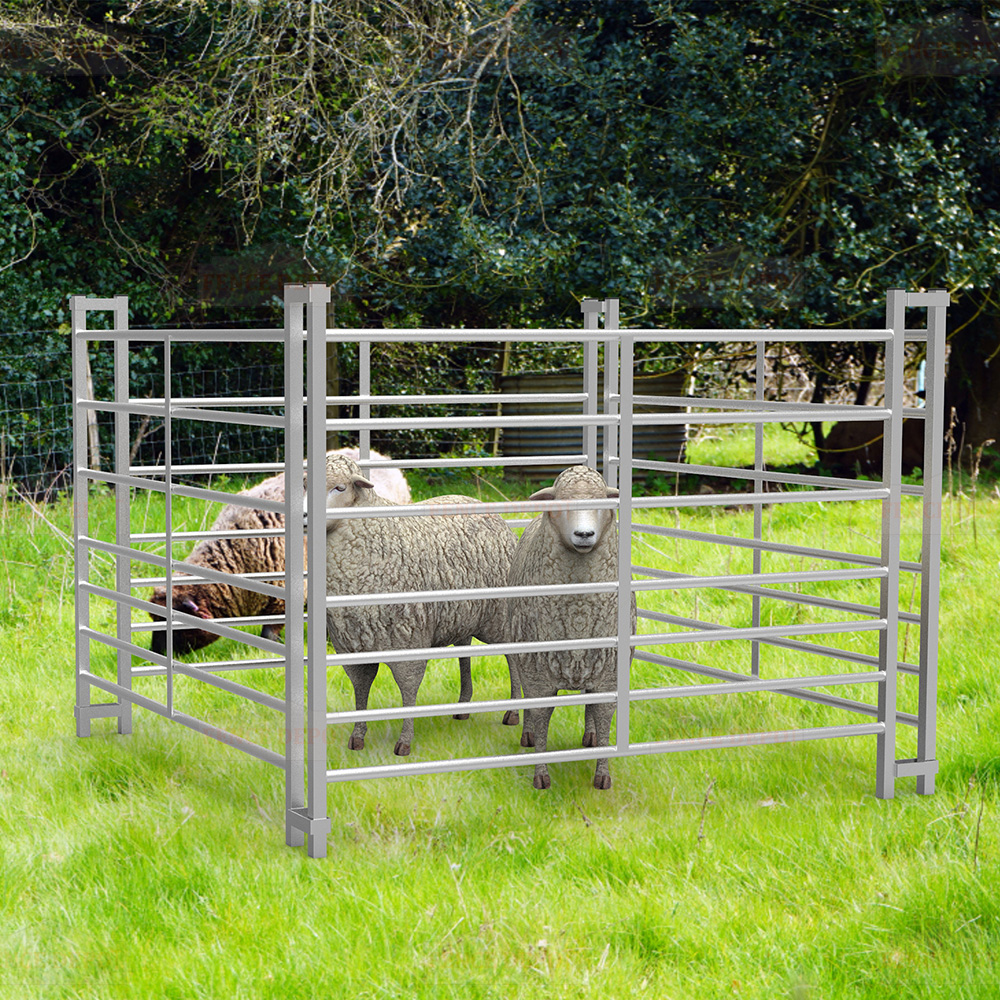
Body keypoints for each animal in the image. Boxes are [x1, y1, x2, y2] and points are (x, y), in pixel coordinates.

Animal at [321, 452, 518, 756]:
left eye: (340, 488)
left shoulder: (409, 639)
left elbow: (408, 687)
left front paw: (404, 741)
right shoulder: (352, 644)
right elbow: (360, 689)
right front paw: (357, 736)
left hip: (498, 617)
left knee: (514, 654)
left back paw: (514, 712)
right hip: (461, 616)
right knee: (464, 653)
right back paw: (463, 706)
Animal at [506, 465, 636, 791]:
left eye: (601, 501)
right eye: (562, 502)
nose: (584, 534)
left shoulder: (609, 671)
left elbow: (603, 718)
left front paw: (602, 773)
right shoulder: (538, 671)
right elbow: (541, 718)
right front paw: (540, 774)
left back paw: (588, 737)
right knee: (528, 701)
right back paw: (527, 735)